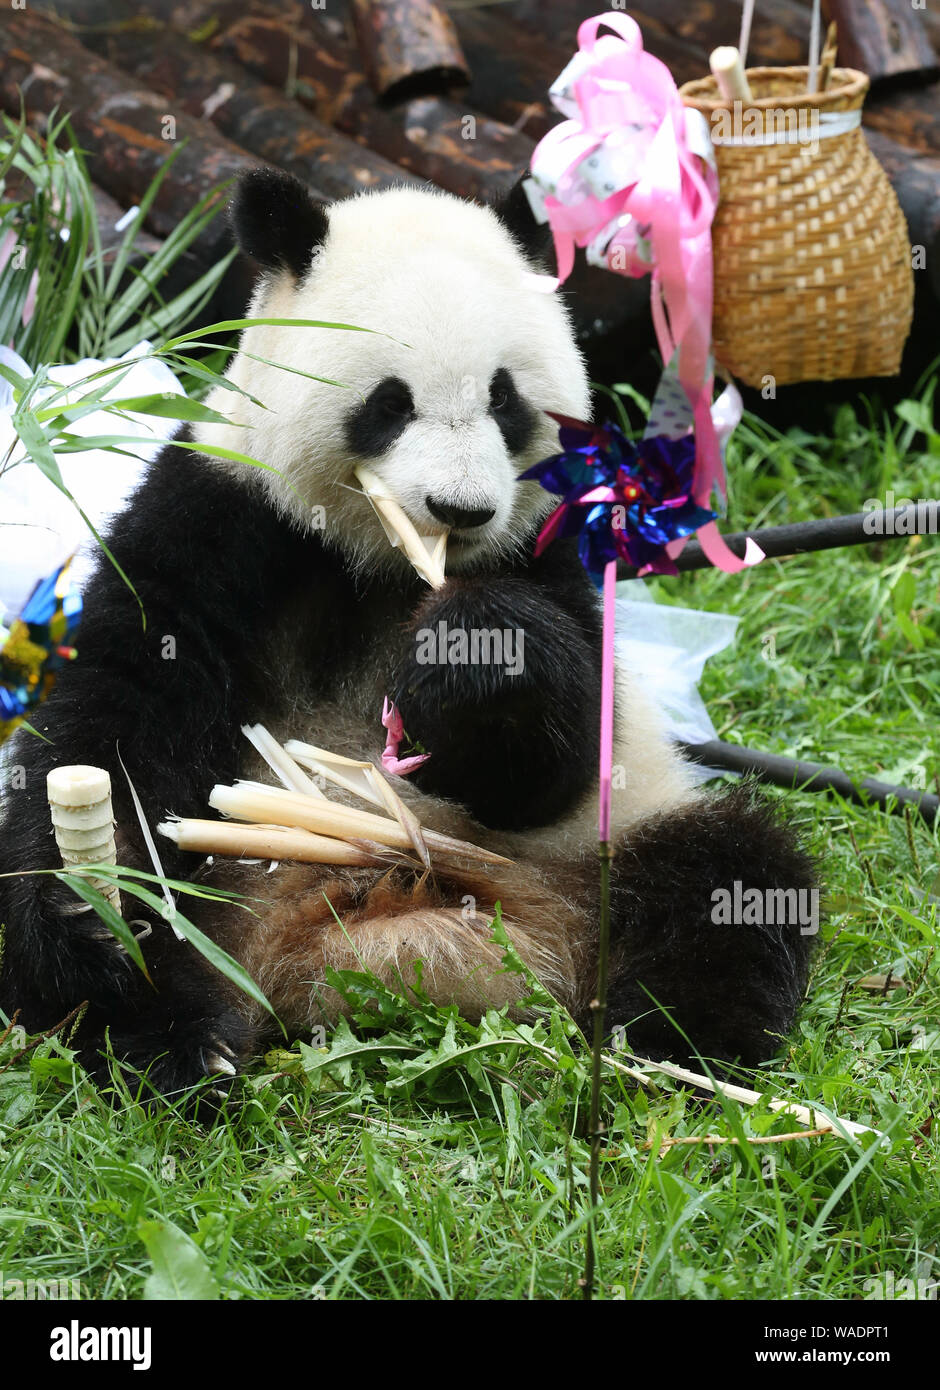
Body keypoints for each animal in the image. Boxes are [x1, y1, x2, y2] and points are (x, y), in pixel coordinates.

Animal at [0, 167, 815, 1108]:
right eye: (390, 404)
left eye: (505, 399)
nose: (462, 509)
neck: (382, 562)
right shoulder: (220, 513)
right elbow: (120, 714)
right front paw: (94, 913)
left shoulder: (549, 557)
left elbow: (555, 761)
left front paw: (472, 655)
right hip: (225, 884)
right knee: (146, 937)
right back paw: (173, 1039)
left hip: (606, 842)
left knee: (730, 876)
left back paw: (668, 1043)